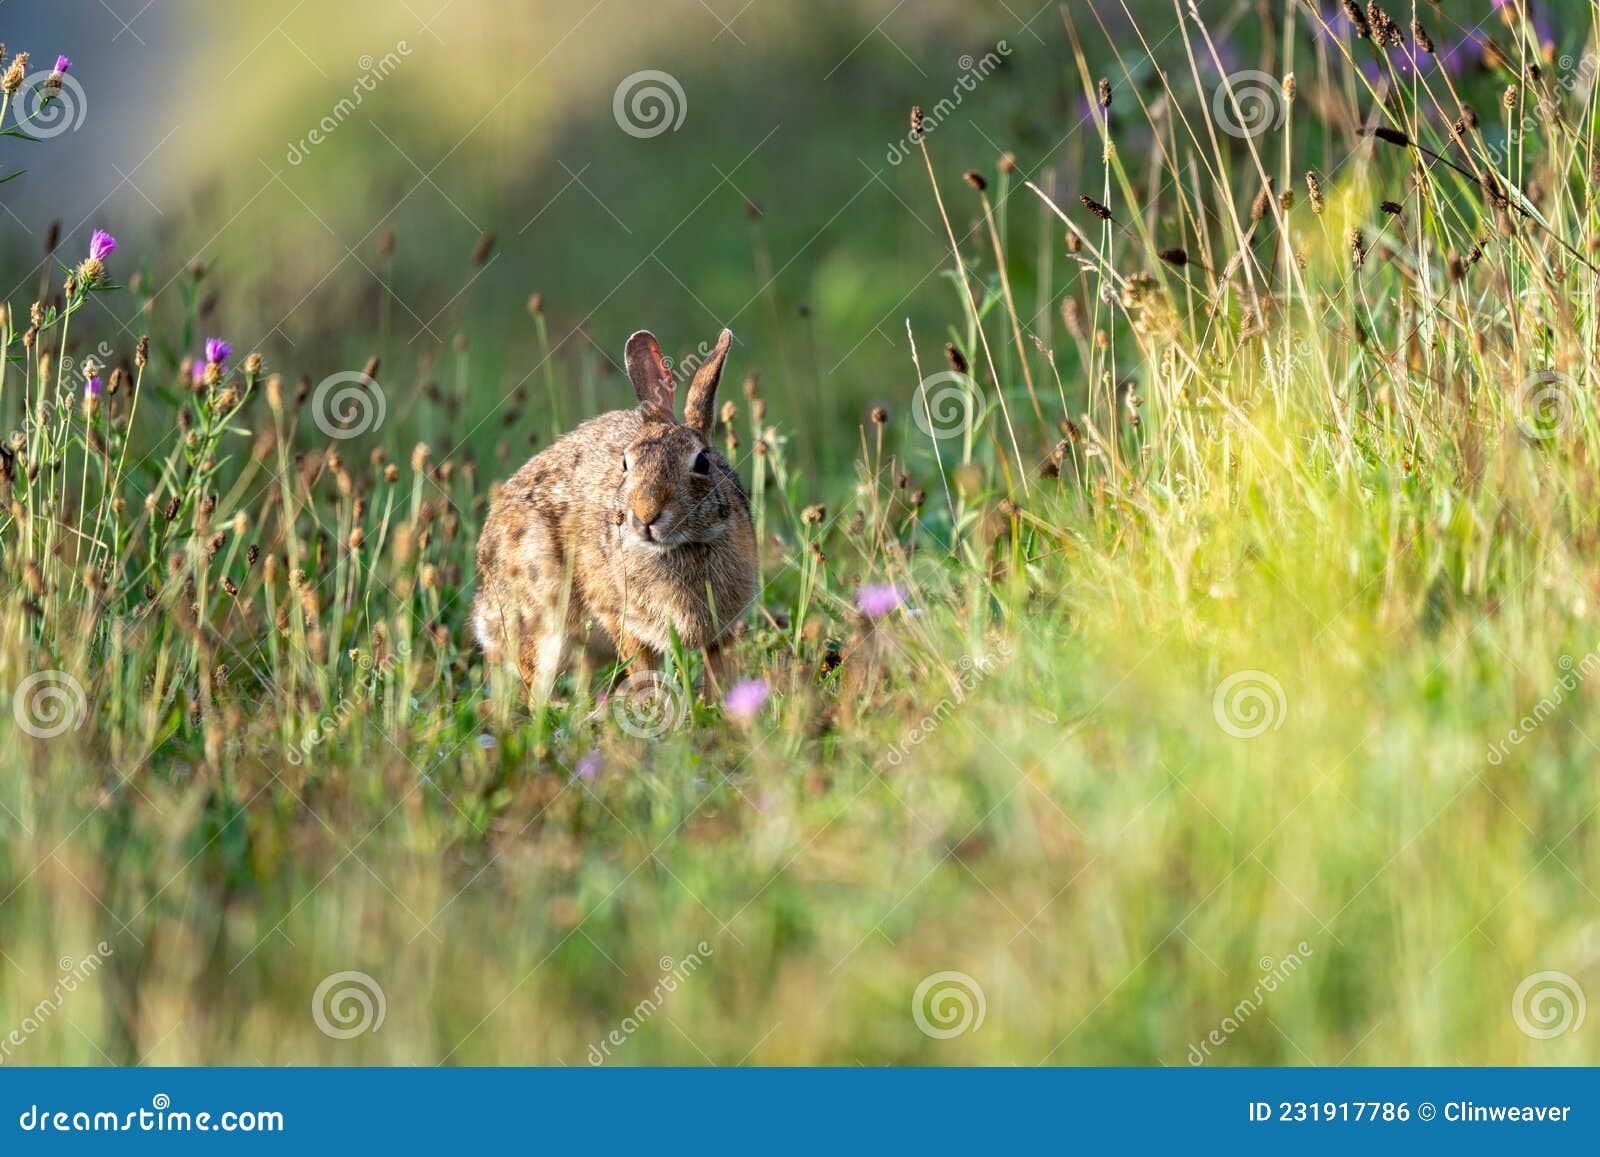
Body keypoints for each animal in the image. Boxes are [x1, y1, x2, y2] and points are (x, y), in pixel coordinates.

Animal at [472, 327, 757, 702]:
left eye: (703, 462)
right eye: (626, 462)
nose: (646, 515)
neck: (678, 547)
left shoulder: (723, 627)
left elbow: (717, 668)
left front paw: (717, 705)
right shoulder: (620, 616)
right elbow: (643, 663)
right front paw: (652, 704)